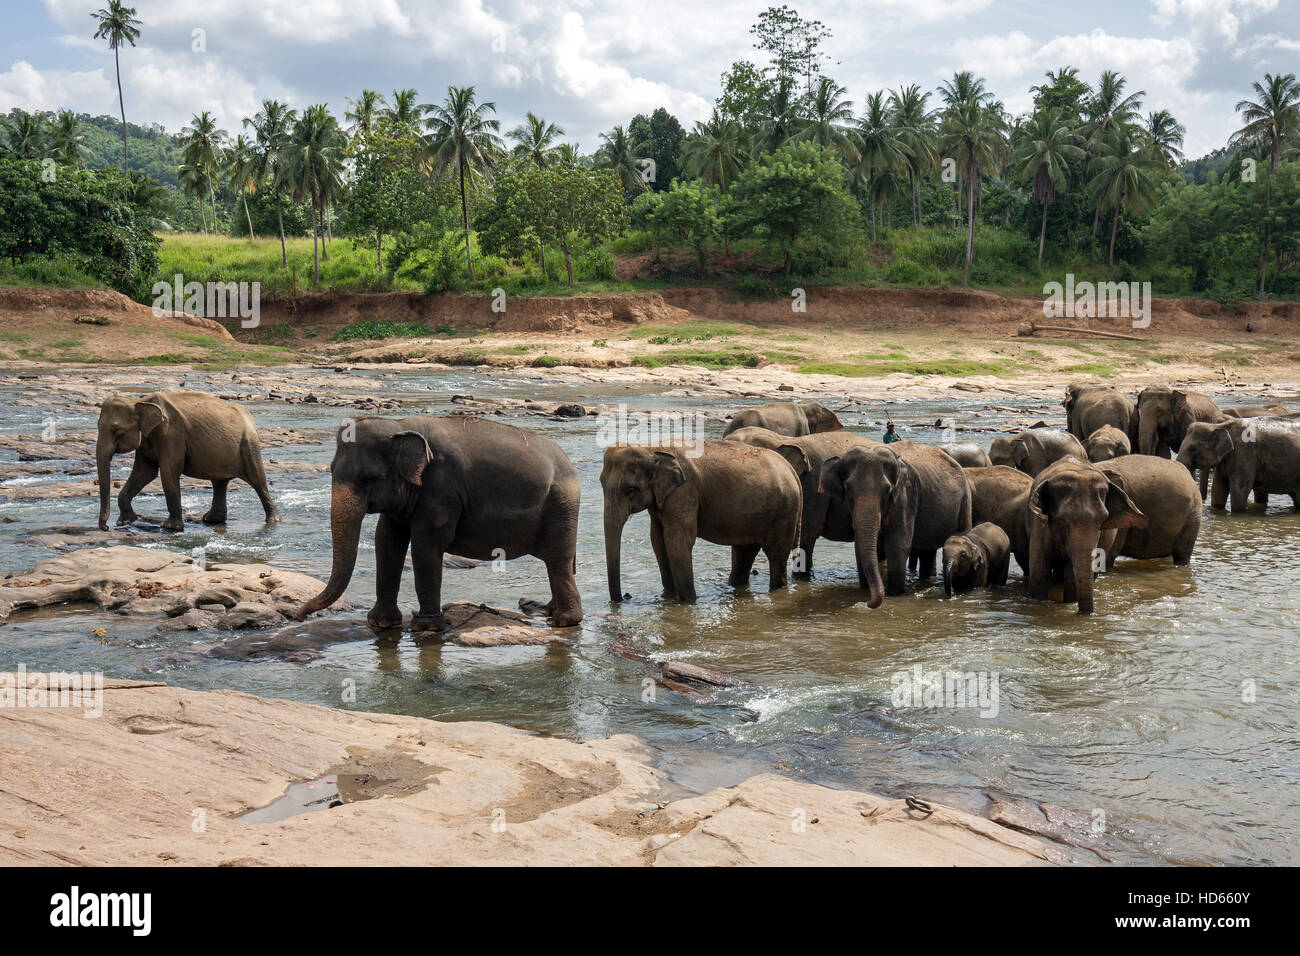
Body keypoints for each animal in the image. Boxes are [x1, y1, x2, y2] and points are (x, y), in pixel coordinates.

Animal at [96, 391, 278, 532]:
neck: (140, 401)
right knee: (219, 482)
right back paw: (211, 520)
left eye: (116, 429)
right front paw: (124, 522)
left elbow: (168, 472)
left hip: (249, 445)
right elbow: (144, 473)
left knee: (258, 480)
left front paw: (171, 527)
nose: (106, 527)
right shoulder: (146, 439)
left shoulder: (172, 434)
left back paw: (272, 521)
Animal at [294, 416, 583, 630]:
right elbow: (386, 541)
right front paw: (382, 623)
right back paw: (548, 610)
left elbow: (426, 546)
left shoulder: (441, 489)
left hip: (561, 506)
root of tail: (568, 462)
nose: (299, 614)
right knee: (556, 564)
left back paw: (563, 621)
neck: (400, 425)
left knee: (557, 561)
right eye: (331, 470)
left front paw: (427, 627)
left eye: (370, 478)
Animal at [602, 439, 803, 602]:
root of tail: (791, 470)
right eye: (601, 484)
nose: (625, 597)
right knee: (745, 552)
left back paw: (777, 589)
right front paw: (669, 598)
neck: (651, 448)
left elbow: (678, 541)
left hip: (784, 511)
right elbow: (657, 541)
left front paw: (688, 601)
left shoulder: (684, 492)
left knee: (776, 554)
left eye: (630, 489)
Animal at [817, 442, 971, 608]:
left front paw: (894, 594)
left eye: (887, 490)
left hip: (965, 501)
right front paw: (864, 591)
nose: (868, 603)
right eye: (848, 489)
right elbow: (859, 547)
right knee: (927, 551)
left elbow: (897, 546)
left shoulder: (905, 497)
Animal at [1026, 457, 1146, 614]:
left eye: (1102, 520)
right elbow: (1039, 572)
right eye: (1062, 520)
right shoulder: (1039, 525)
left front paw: (1071, 602)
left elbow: (1071, 574)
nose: (1087, 614)